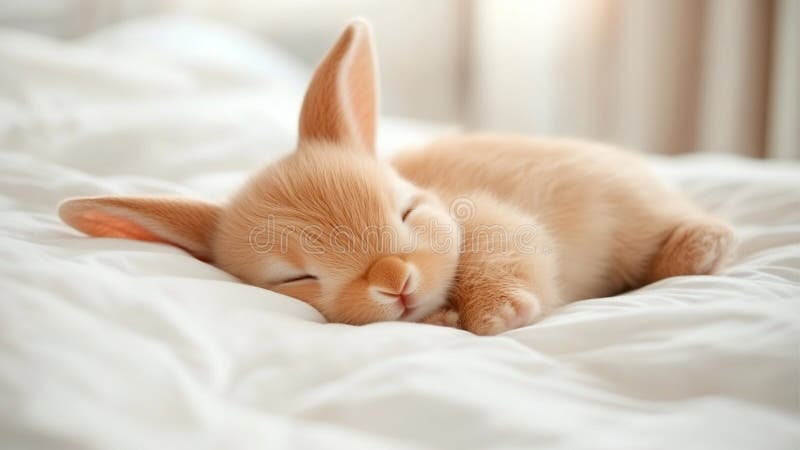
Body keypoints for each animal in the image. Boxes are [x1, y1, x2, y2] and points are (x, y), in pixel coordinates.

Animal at [59, 20, 735, 335]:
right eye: (296, 278)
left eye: (406, 213)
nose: (395, 281)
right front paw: (450, 323)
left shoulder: (491, 224)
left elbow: (498, 254)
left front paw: (499, 316)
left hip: (632, 209)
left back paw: (703, 246)